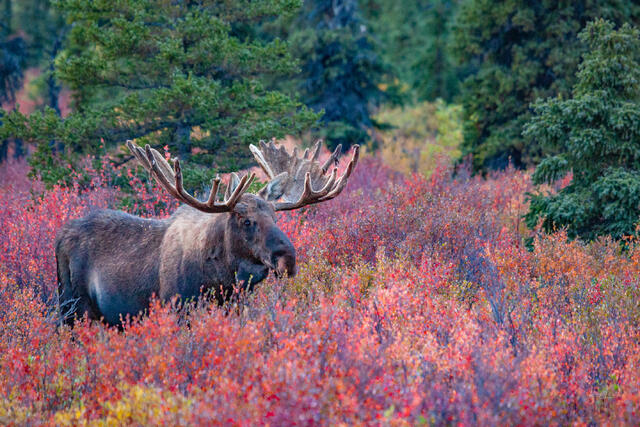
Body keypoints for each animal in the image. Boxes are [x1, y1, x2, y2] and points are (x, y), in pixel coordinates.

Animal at [55, 139, 359, 326]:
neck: (220, 277)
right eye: (245, 220)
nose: (287, 258)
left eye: (275, 216)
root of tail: (61, 237)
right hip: (73, 308)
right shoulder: (176, 308)